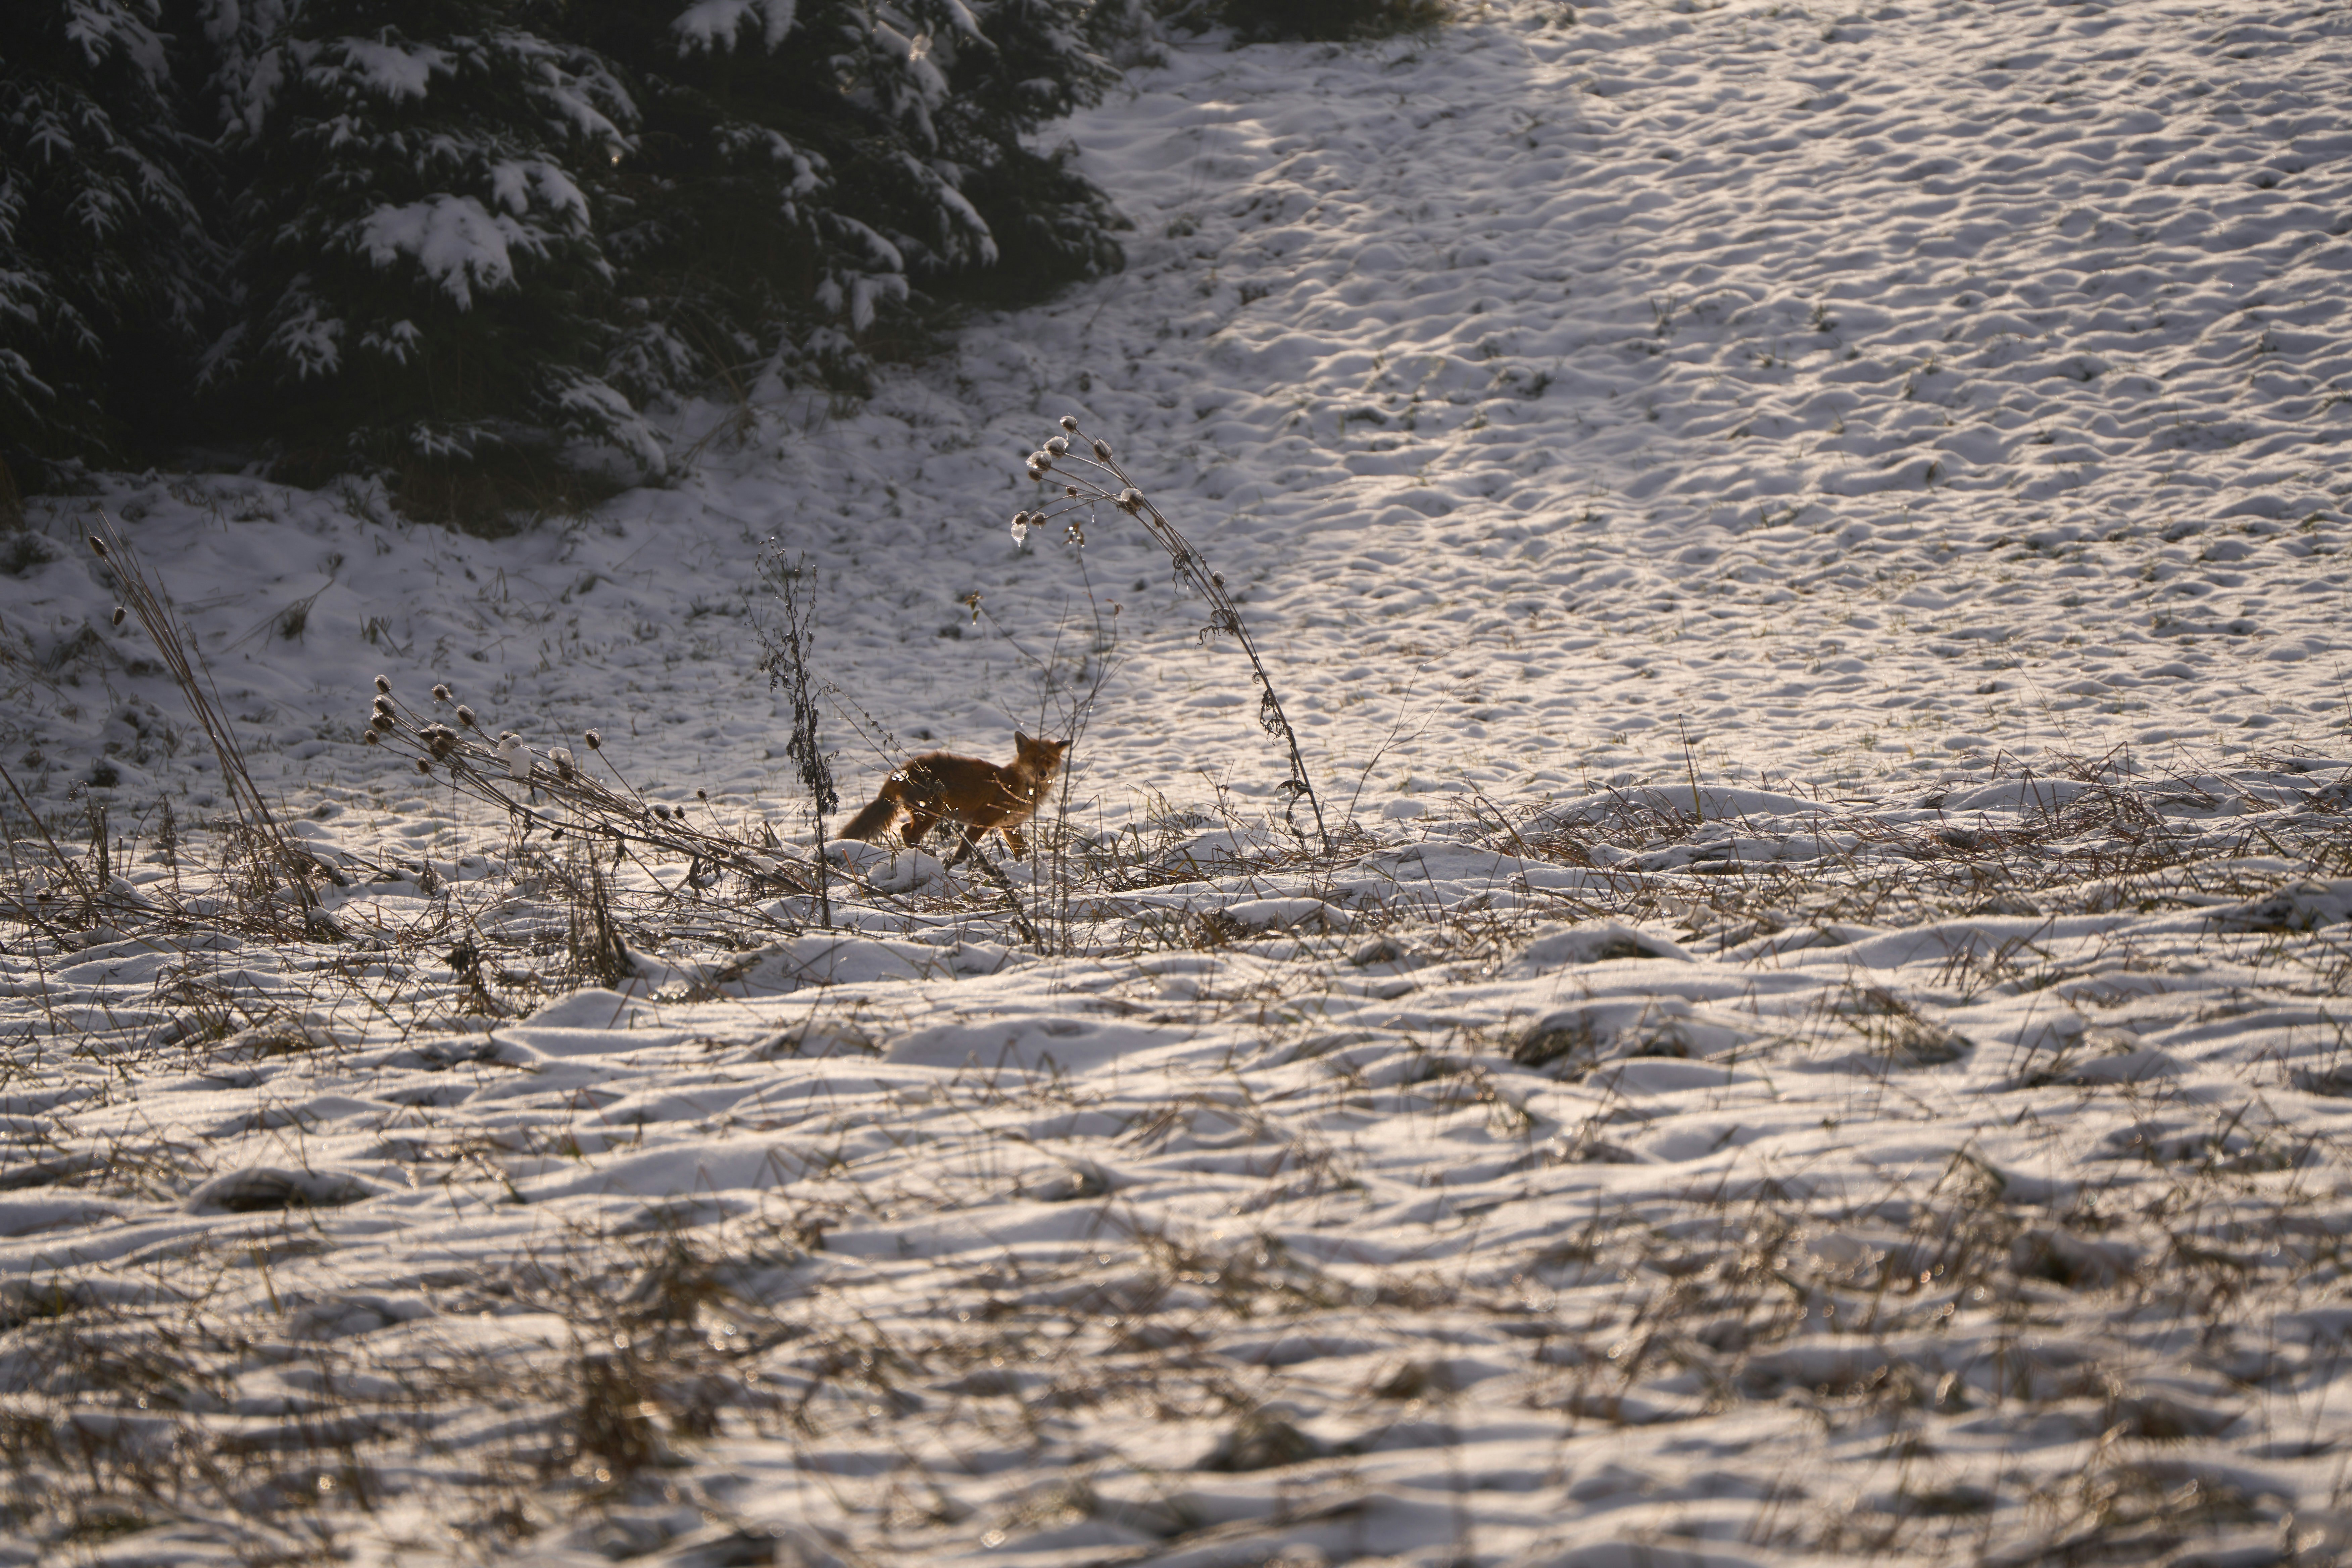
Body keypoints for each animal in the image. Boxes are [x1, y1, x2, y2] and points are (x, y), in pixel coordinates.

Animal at [837, 732, 1070, 865]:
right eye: (1033, 761)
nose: (1043, 774)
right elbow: (964, 849)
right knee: (907, 833)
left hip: (928, 815)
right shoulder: (982, 820)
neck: (1020, 787)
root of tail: (902, 770)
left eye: (1049, 761)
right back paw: (926, 856)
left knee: (906, 832)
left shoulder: (1010, 826)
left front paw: (1029, 868)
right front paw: (953, 866)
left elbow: (1022, 851)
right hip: (931, 814)